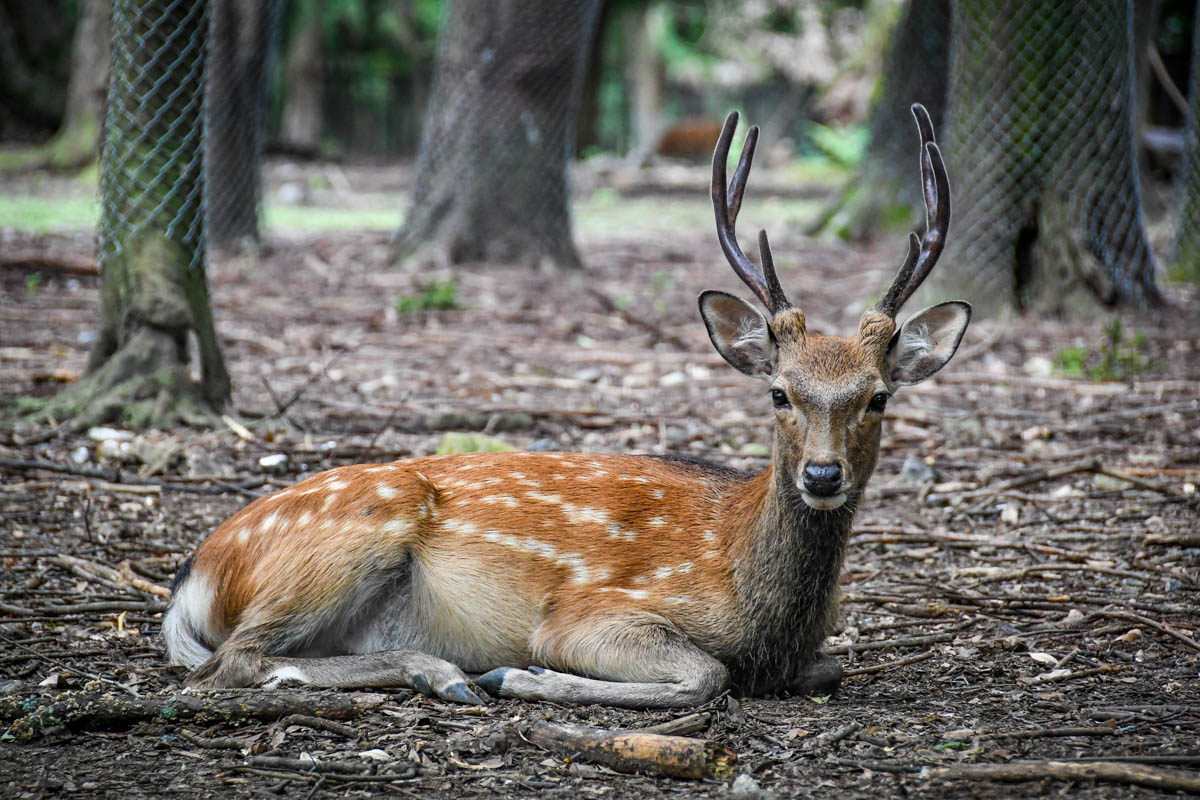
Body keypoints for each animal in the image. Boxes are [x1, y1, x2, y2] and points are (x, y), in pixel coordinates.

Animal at [163, 104, 970, 709]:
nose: (824, 476)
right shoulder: (586, 612)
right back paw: (452, 672)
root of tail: (194, 573)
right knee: (230, 664)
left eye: (878, 397)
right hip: (342, 543)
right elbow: (706, 673)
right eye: (780, 393)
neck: (756, 601)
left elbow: (826, 666)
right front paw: (518, 673)